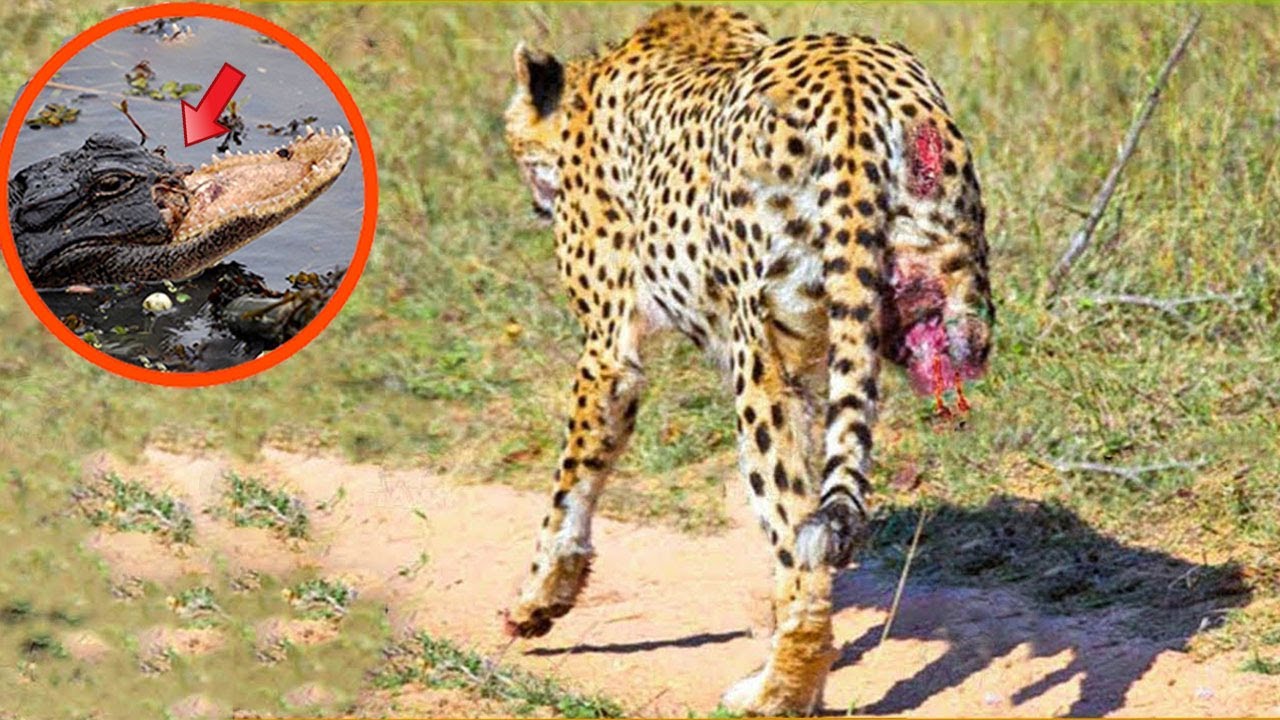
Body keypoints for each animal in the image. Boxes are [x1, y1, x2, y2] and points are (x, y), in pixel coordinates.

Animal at [500, 5, 993, 714]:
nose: (533, 200)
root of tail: (848, 72)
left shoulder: (609, 352)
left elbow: (571, 486)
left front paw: (538, 599)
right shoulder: (817, 365)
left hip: (758, 365)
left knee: (796, 543)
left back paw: (776, 691)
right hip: (936, 307)